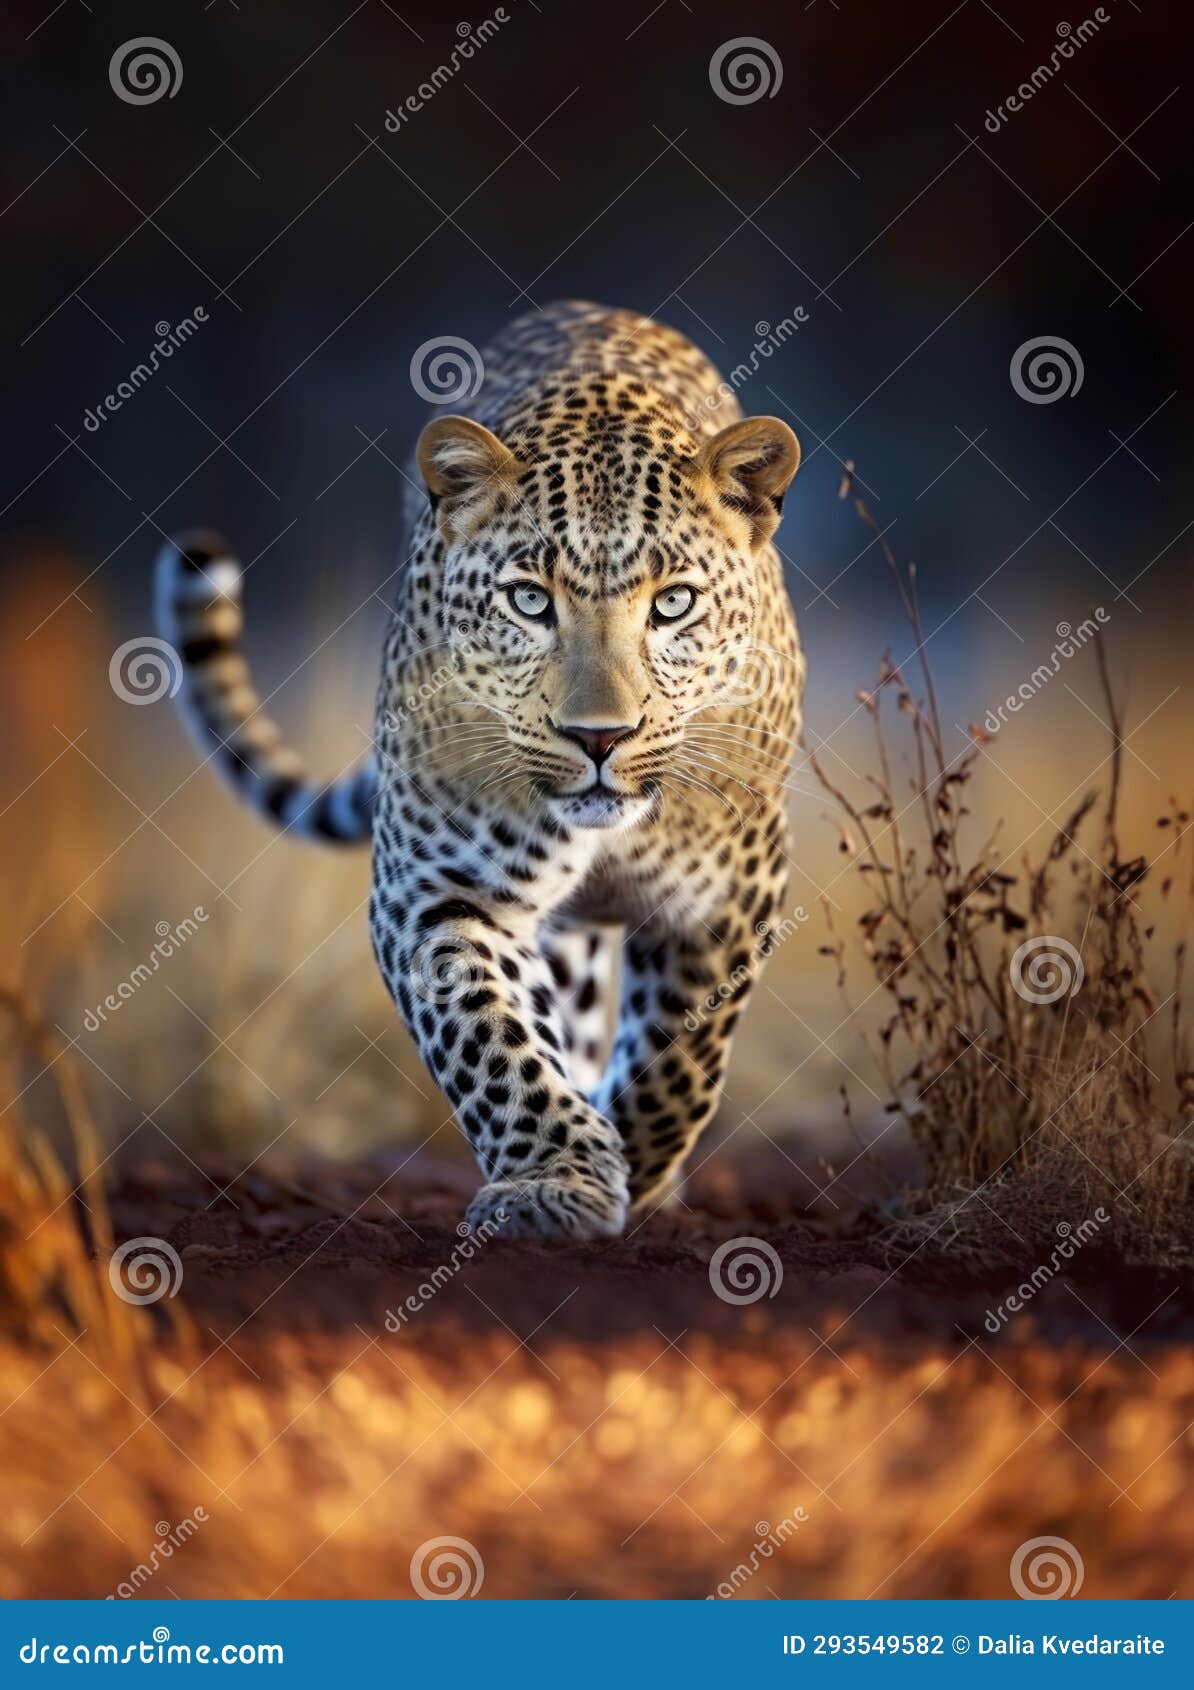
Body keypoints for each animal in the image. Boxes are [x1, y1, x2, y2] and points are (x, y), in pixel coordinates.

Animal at [156, 300, 806, 1242]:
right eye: (530, 601)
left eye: (674, 603)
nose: (601, 738)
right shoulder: (441, 890)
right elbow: (492, 1042)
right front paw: (554, 1180)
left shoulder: (729, 896)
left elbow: (680, 1062)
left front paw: (638, 1167)